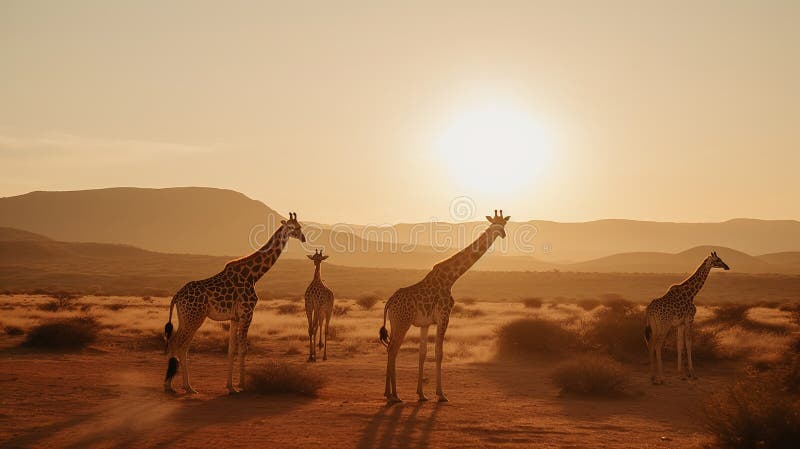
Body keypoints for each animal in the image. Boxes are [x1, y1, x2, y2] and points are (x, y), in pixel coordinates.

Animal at [163, 212, 306, 394]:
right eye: (293, 227)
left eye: (300, 226)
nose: (303, 238)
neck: (254, 275)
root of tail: (177, 296)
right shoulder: (247, 313)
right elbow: (243, 348)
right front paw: (242, 385)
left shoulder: (234, 318)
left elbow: (231, 350)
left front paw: (230, 386)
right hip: (194, 318)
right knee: (179, 343)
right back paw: (175, 386)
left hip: (184, 318)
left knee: (179, 344)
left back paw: (184, 386)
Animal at [379, 210, 510, 403]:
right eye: (495, 224)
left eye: (504, 223)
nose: (502, 234)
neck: (451, 278)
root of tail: (389, 302)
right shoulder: (444, 317)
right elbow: (439, 353)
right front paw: (441, 394)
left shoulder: (425, 324)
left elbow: (423, 354)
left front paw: (422, 394)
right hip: (403, 322)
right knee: (394, 349)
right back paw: (395, 395)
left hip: (395, 322)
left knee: (389, 348)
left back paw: (388, 393)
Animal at [645, 251, 730, 384]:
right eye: (718, 260)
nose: (727, 266)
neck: (692, 294)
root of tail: (649, 310)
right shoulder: (690, 320)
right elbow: (689, 343)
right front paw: (692, 373)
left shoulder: (680, 323)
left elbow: (680, 345)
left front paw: (681, 374)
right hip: (664, 325)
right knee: (658, 345)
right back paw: (662, 377)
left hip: (655, 326)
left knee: (651, 344)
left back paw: (653, 377)